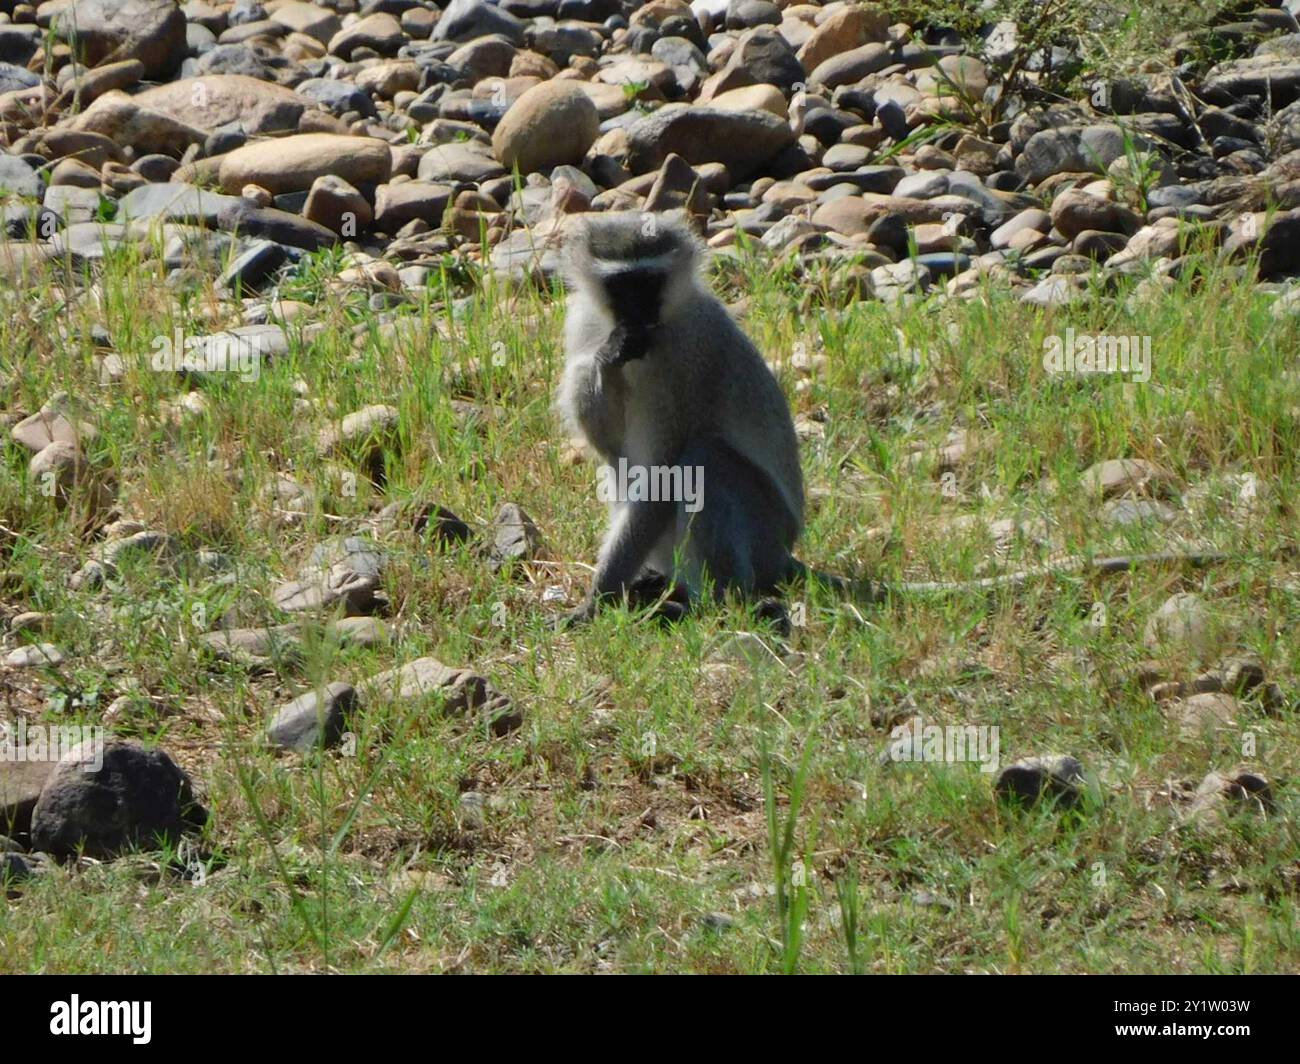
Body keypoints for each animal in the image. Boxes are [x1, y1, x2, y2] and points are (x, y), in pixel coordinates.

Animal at [555, 210, 1233, 627]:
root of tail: (786, 556)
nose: (637, 322)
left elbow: (662, 474)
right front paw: (605, 362)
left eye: (650, 282)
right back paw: (663, 588)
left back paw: (719, 603)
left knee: (705, 461)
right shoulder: (589, 325)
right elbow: (609, 444)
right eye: (623, 287)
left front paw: (596, 599)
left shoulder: (685, 358)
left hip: (764, 531)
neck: (652, 332)